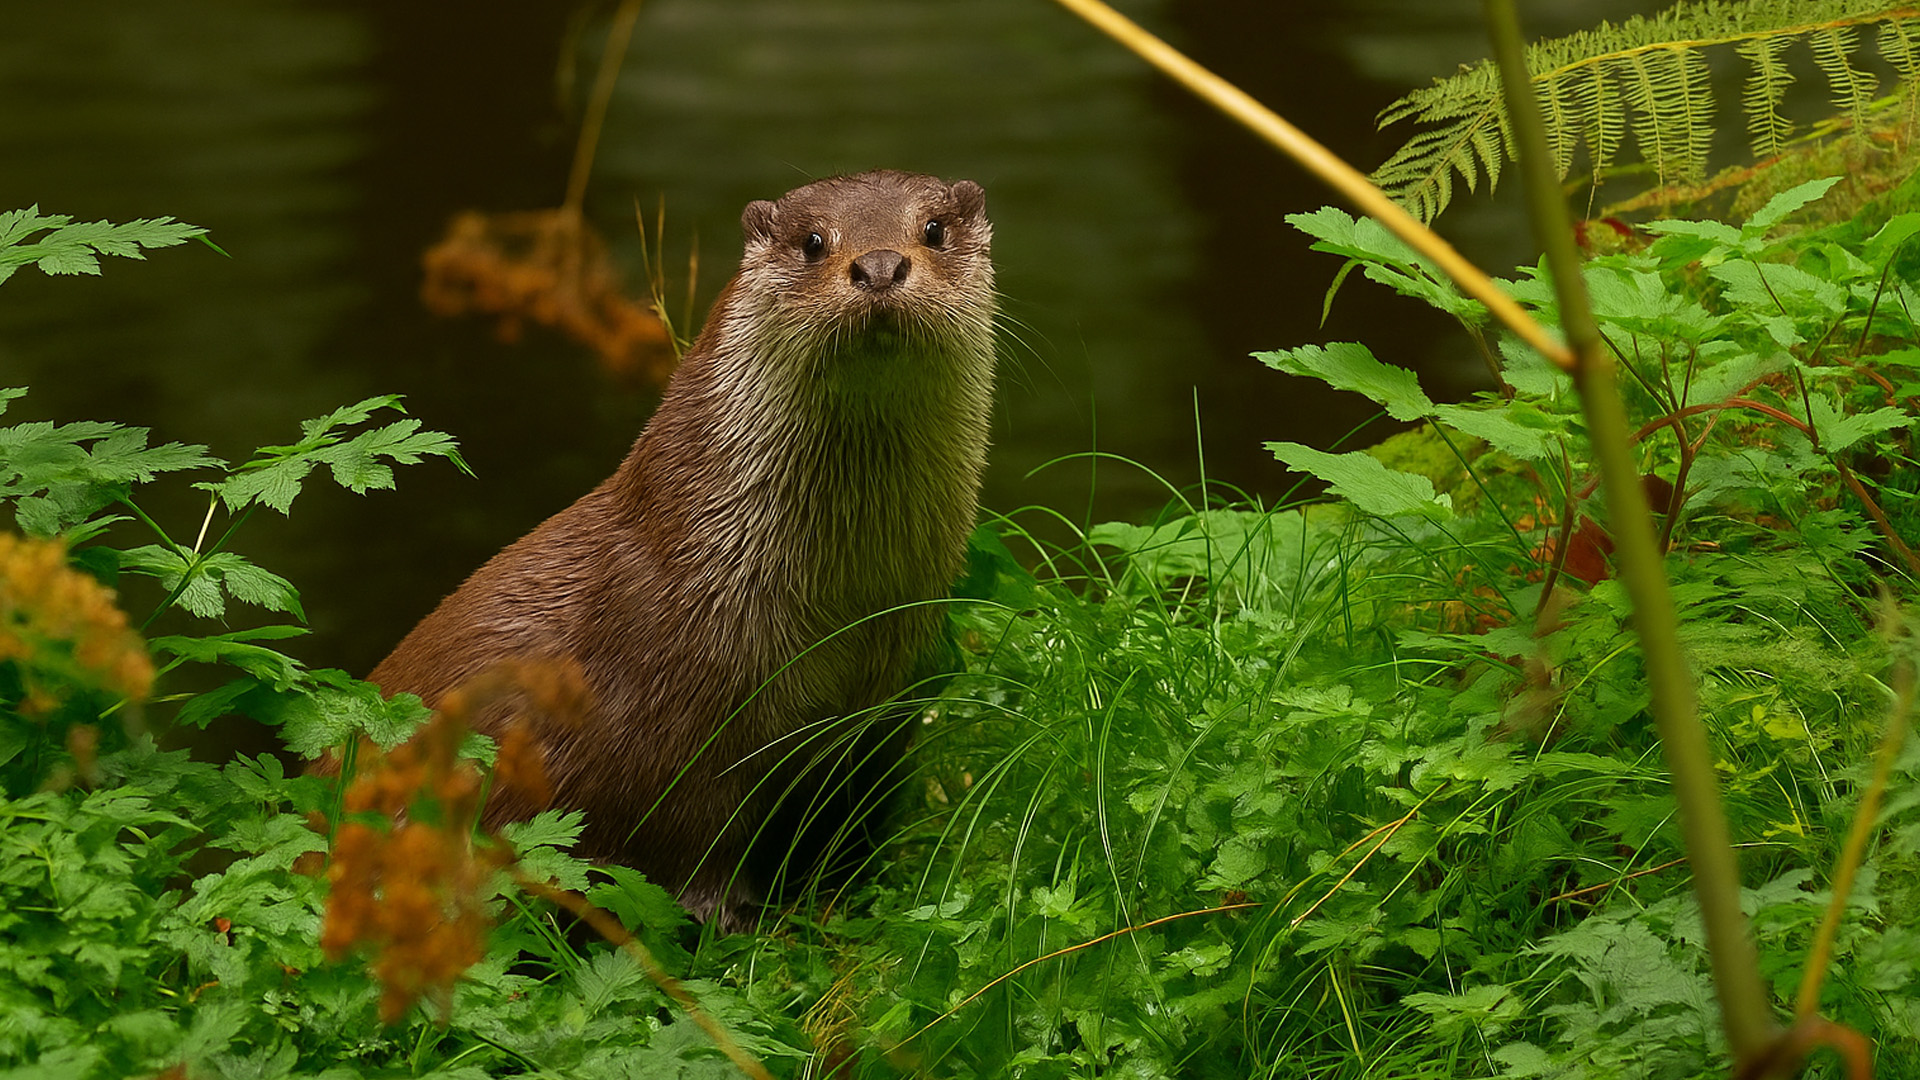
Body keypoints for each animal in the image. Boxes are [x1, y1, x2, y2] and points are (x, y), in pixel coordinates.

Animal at [368, 170, 996, 929]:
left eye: (933, 229)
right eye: (814, 241)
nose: (878, 266)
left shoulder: (885, 704)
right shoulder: (671, 713)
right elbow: (687, 837)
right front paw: (728, 917)